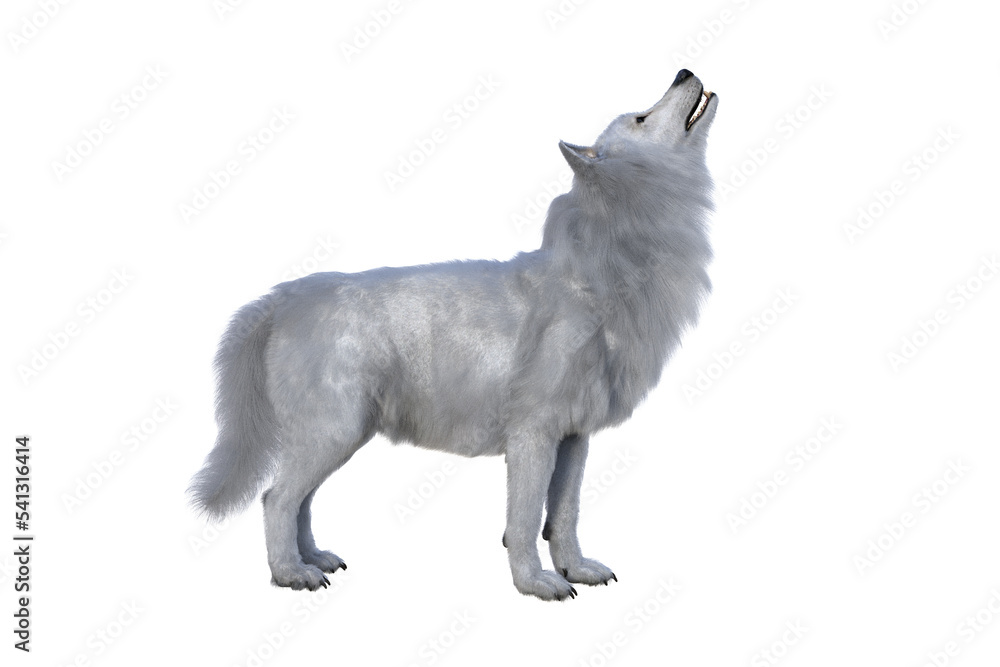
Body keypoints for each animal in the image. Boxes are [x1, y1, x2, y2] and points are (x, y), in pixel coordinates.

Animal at [189, 69, 718, 601]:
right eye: (641, 117)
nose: (684, 72)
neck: (605, 274)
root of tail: (282, 297)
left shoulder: (573, 438)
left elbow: (564, 517)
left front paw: (576, 570)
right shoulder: (533, 435)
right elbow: (525, 522)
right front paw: (535, 584)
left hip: (335, 438)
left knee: (300, 502)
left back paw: (314, 559)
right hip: (333, 434)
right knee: (275, 498)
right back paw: (290, 574)